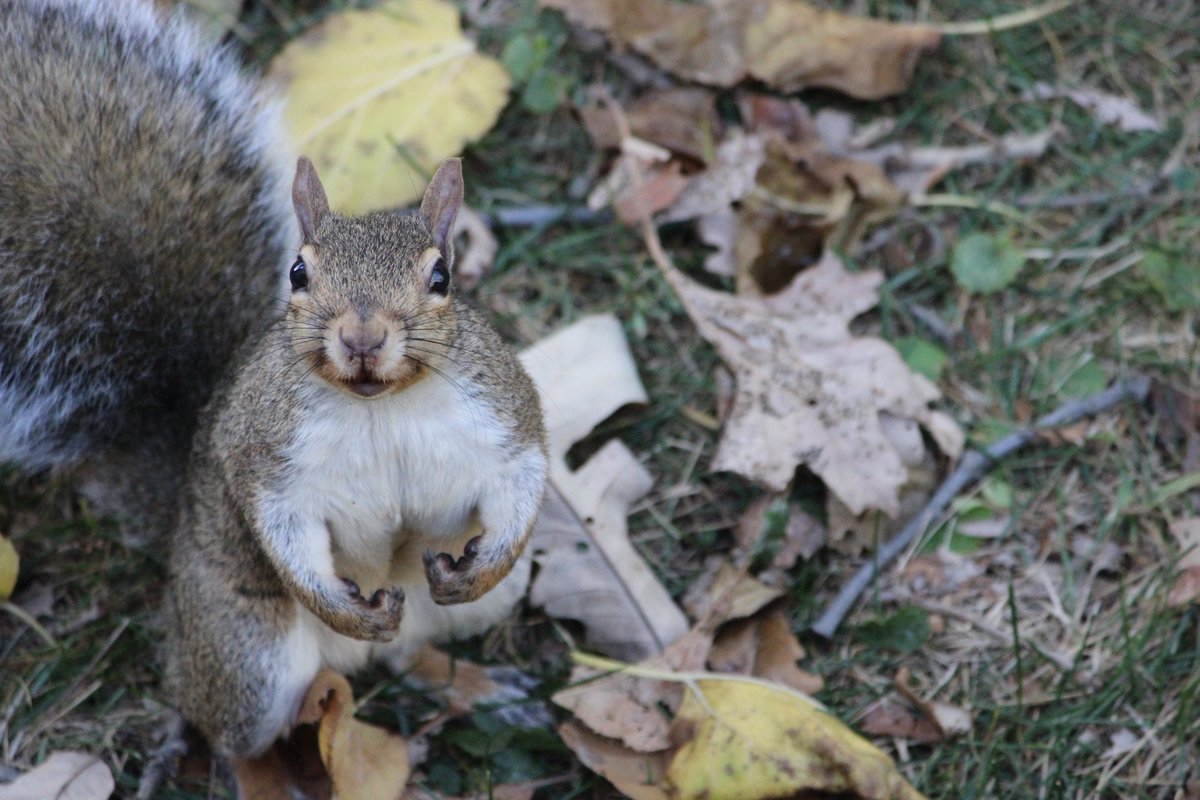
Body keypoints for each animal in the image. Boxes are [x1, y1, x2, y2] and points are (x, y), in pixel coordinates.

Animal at [2, 0, 548, 775]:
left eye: (442, 276)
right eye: (298, 272)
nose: (361, 337)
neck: (379, 408)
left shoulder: (499, 413)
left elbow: (522, 475)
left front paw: (483, 564)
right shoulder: (267, 460)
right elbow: (284, 529)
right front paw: (339, 602)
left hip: (473, 605)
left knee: (414, 653)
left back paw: (483, 689)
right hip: (248, 657)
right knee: (238, 732)